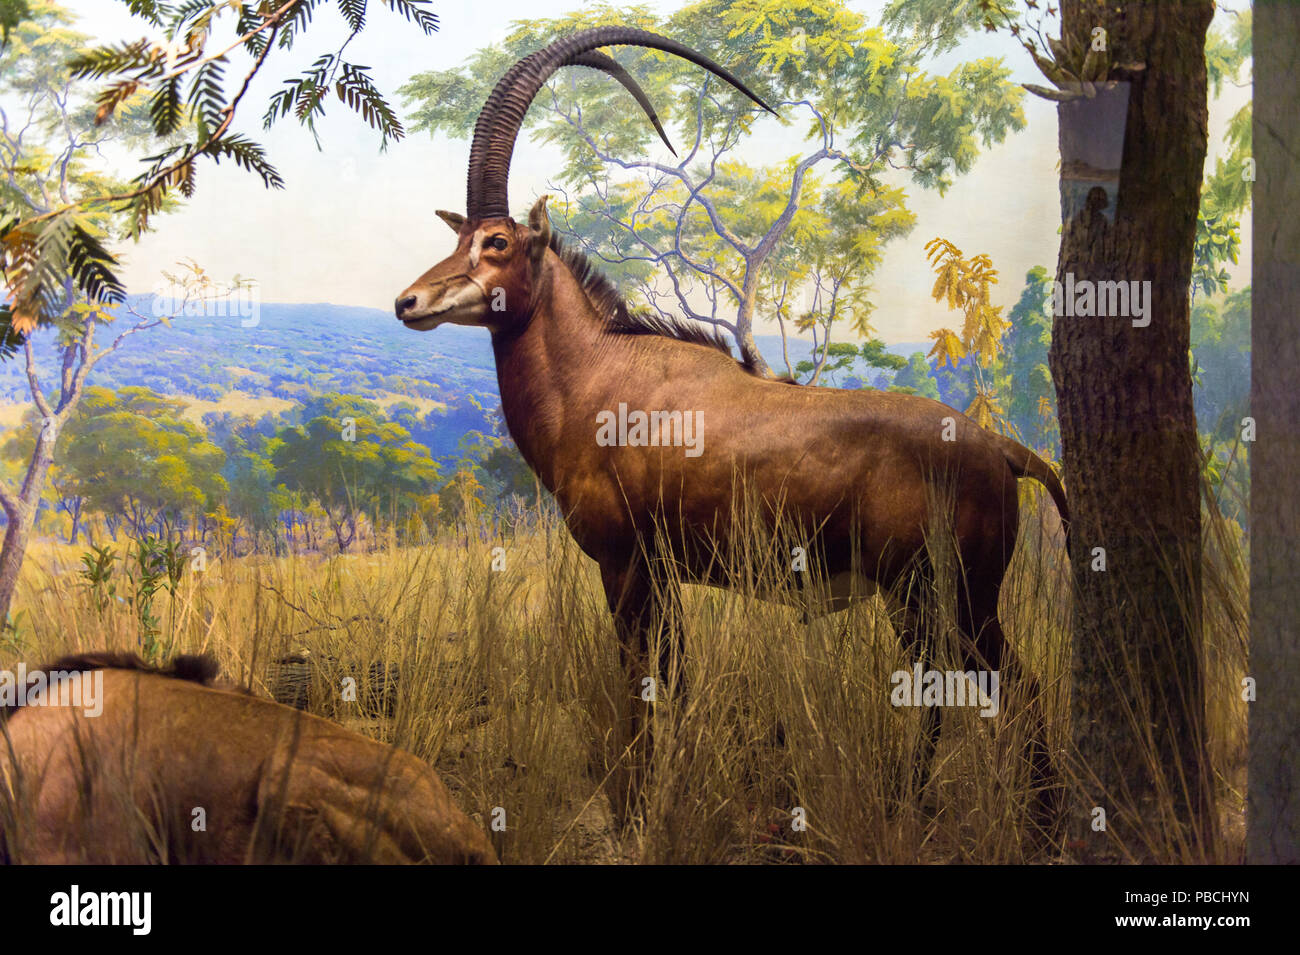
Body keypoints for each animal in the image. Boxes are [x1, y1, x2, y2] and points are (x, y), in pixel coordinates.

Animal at [395, 27, 1069, 827]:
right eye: (461, 236)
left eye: (497, 242)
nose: (408, 302)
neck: (600, 374)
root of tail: (1001, 445)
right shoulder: (661, 573)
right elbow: (678, 677)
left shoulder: (624, 565)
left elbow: (640, 681)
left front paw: (635, 808)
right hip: (928, 603)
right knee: (950, 691)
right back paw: (912, 801)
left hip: (949, 597)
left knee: (1016, 690)